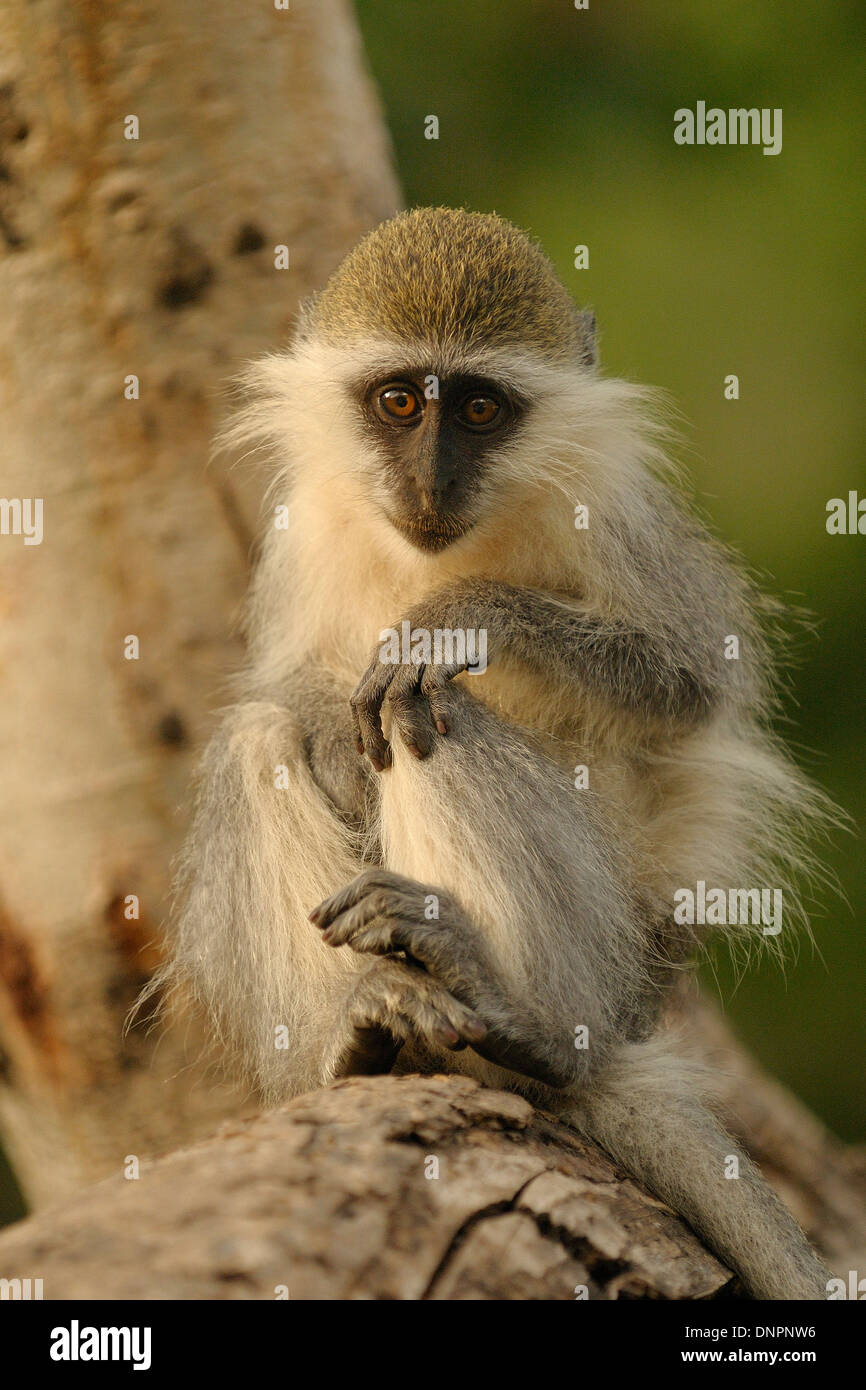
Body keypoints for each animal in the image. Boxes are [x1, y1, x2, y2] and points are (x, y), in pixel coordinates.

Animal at [152, 207, 836, 1299]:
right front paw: (327, 728)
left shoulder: (624, 520)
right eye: (398, 401)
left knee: (424, 712)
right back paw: (361, 1034)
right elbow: (286, 687)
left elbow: (687, 680)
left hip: (603, 940)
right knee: (260, 739)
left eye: (478, 410)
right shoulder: (300, 532)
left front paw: (461, 619)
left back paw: (526, 1023)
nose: (429, 479)